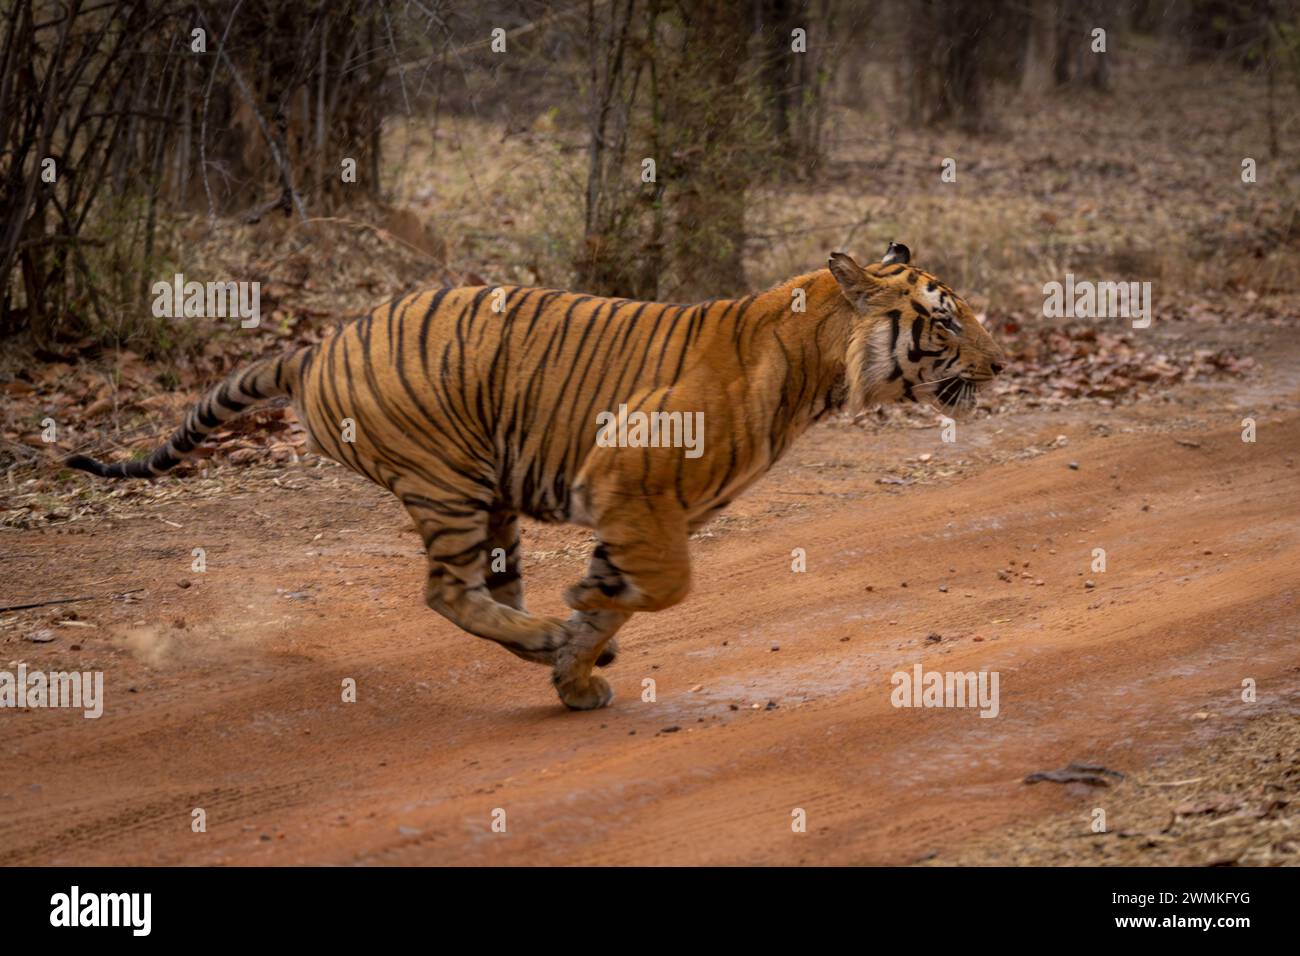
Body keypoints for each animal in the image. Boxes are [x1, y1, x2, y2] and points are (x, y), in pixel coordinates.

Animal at [67, 241, 1006, 711]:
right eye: (945, 321)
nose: (1003, 364)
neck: (814, 368)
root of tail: (315, 345)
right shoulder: (633, 482)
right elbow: (663, 584)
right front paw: (581, 633)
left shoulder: (646, 510)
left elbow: (624, 588)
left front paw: (580, 672)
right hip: (446, 478)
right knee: (446, 593)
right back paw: (547, 634)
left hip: (491, 498)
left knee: (491, 591)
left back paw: (546, 645)